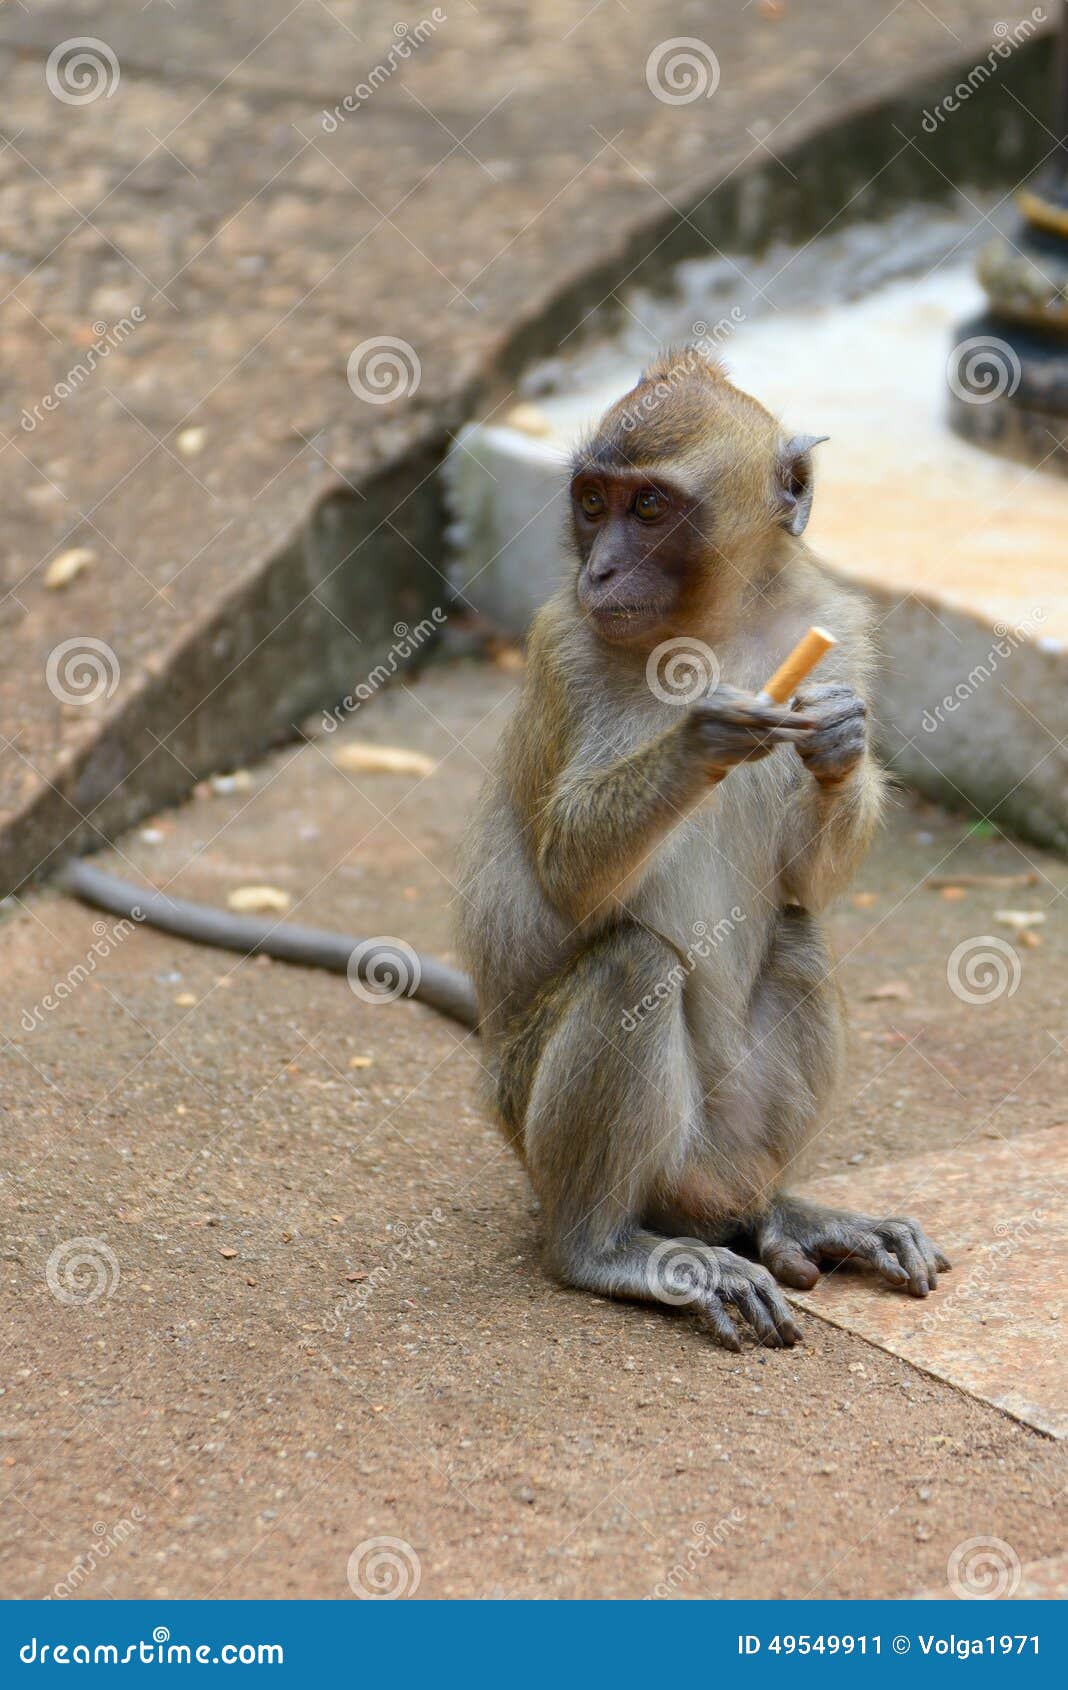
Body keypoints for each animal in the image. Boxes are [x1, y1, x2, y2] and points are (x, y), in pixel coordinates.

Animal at [59, 347, 949, 1350]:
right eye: (592, 502)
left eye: (649, 508)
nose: (601, 570)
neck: (713, 625)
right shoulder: (561, 648)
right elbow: (571, 877)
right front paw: (703, 732)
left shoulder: (839, 627)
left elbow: (809, 876)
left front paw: (840, 741)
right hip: (537, 1117)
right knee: (635, 968)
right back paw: (607, 1248)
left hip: (718, 1142)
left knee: (795, 936)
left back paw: (774, 1213)